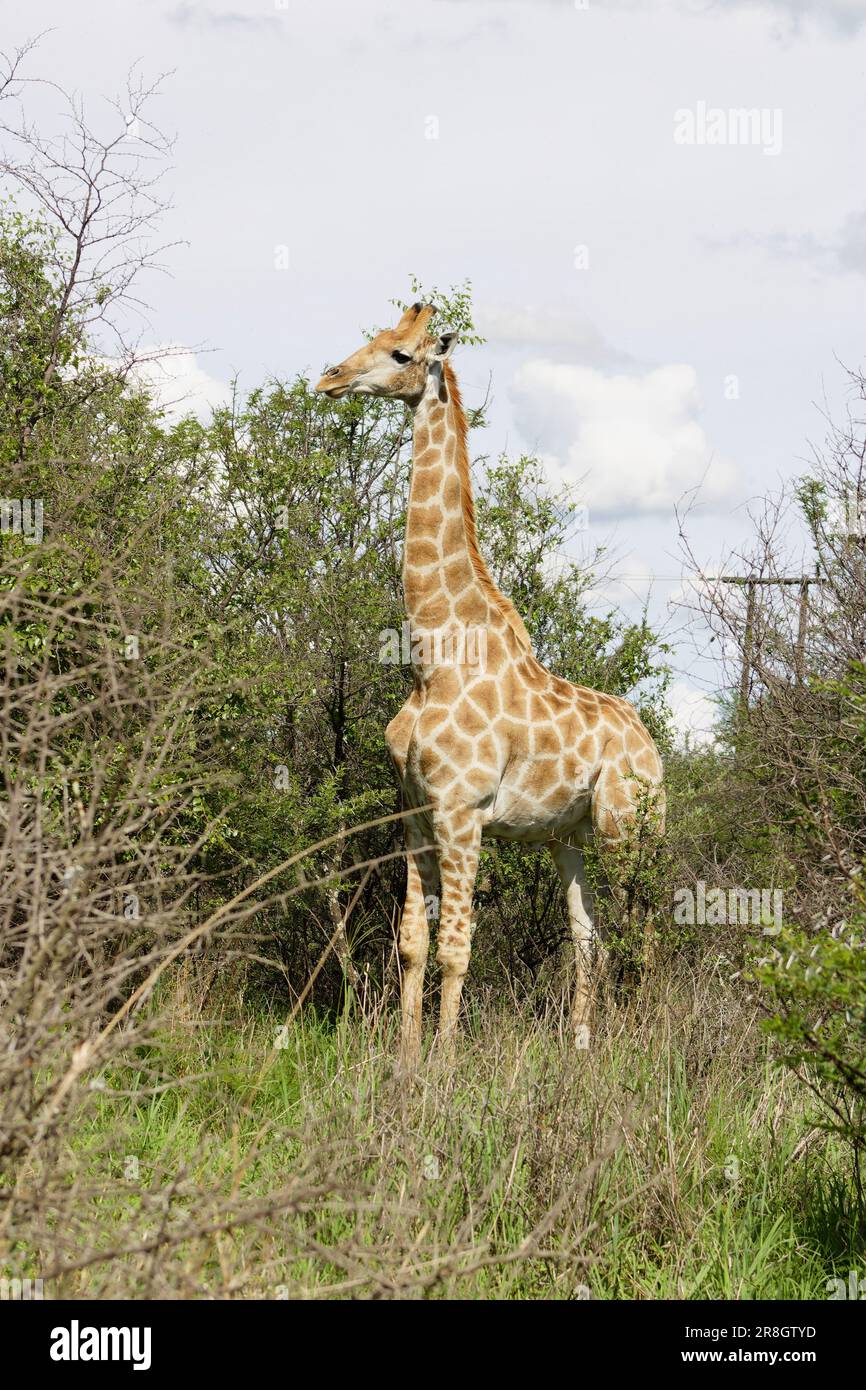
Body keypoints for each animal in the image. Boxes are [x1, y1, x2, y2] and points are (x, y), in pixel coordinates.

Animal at [316, 302, 665, 1070]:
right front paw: (406, 1060)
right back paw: (582, 1049)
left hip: (633, 829)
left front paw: (444, 1064)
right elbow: (413, 943)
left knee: (650, 935)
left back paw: (653, 1046)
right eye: (373, 336)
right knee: (589, 942)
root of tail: (654, 747)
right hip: (571, 836)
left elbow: (457, 947)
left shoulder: (462, 811)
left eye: (401, 353)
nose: (328, 377)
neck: (434, 657)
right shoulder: (415, 812)